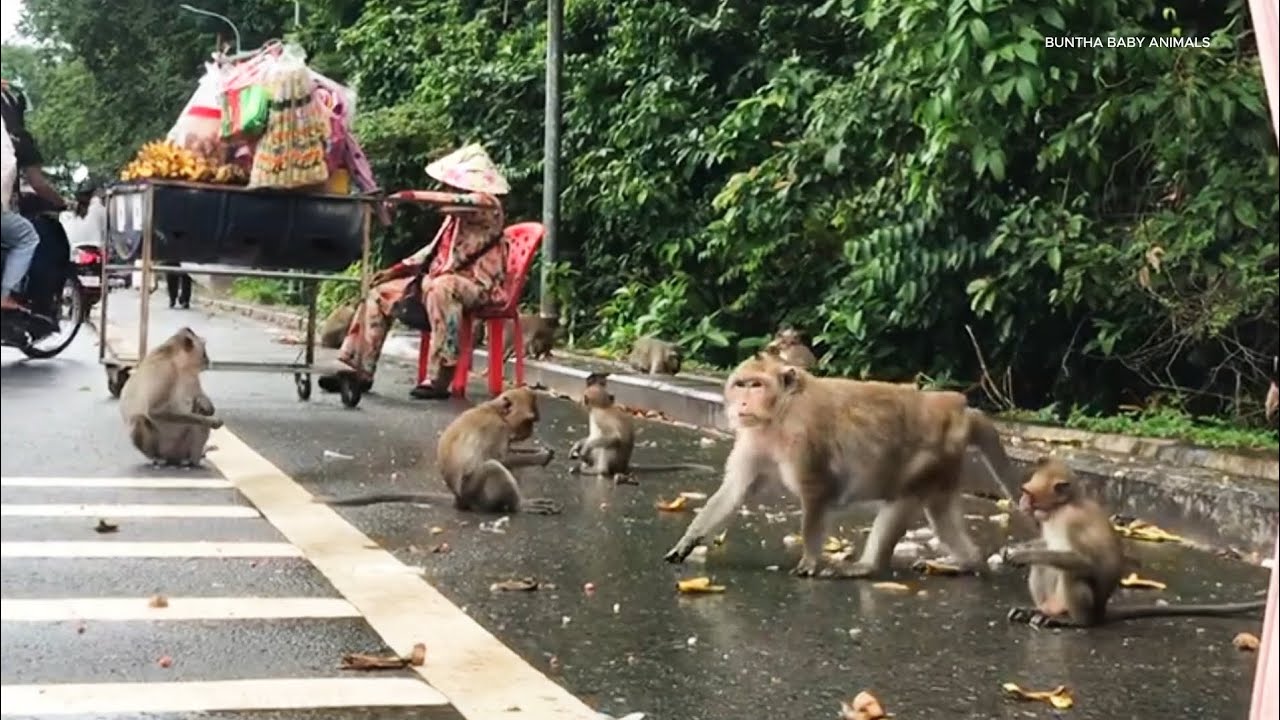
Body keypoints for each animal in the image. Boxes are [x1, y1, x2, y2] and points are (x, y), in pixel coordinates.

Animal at [118, 327, 224, 467]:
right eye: (204, 352)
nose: (208, 361)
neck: (176, 363)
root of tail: (173, 458)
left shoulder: (191, 375)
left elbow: (199, 399)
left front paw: (208, 406)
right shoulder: (164, 371)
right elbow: (155, 411)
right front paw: (212, 420)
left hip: (184, 448)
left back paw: (193, 460)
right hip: (164, 449)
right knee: (139, 419)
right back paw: (158, 458)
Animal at [313, 386, 563, 515]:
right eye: (529, 421)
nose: (530, 431)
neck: (494, 410)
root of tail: (460, 499)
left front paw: (541, 451)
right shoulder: (497, 428)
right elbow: (500, 458)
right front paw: (541, 457)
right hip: (476, 491)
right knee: (492, 467)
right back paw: (520, 506)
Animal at [567, 372, 717, 484]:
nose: (581, 402)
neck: (603, 406)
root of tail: (624, 466)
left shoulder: (600, 416)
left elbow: (613, 437)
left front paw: (584, 448)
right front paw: (578, 445)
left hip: (613, 462)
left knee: (607, 446)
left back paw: (598, 470)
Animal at [662, 354, 1024, 578]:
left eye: (757, 385)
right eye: (741, 384)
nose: (742, 403)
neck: (780, 411)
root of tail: (959, 409)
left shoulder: (803, 434)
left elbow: (817, 490)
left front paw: (810, 559)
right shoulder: (754, 438)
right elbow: (734, 491)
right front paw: (687, 541)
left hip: (930, 460)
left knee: (901, 500)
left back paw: (868, 567)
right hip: (943, 467)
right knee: (941, 516)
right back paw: (969, 563)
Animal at [1004, 457, 1266, 628]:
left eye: (1028, 493)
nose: (1022, 501)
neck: (1061, 508)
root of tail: (1100, 611)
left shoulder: (1073, 520)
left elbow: (1084, 561)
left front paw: (1021, 555)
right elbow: (1047, 545)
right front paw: (1018, 549)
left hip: (1085, 605)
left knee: (1072, 573)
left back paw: (1071, 620)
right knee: (1045, 565)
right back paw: (1039, 610)